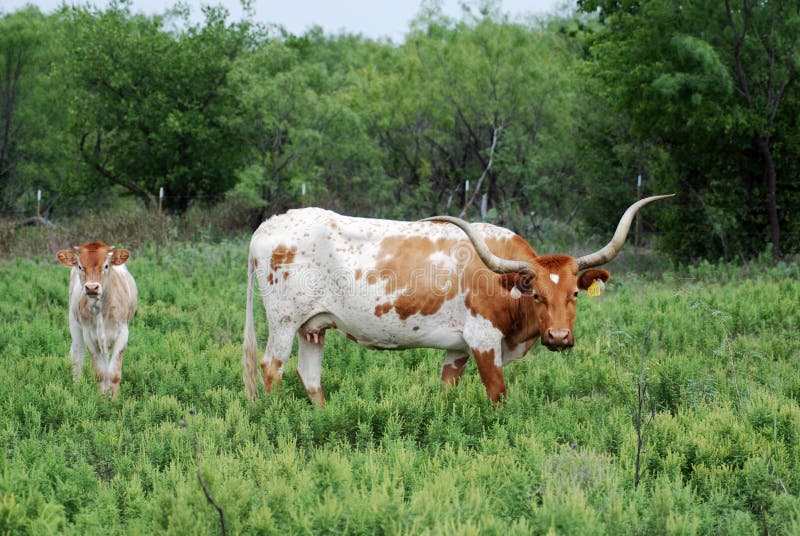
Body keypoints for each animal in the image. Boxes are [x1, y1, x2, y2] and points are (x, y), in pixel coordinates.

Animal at [56, 241, 138, 399]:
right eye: (80, 266)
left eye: (106, 265)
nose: (92, 287)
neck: (100, 310)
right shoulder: (88, 335)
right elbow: (99, 373)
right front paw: (101, 399)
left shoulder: (123, 333)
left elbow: (114, 374)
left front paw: (113, 400)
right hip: (74, 323)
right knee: (77, 355)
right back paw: (78, 388)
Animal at [243, 195, 673, 407]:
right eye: (536, 294)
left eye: (575, 294)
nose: (559, 337)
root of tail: (269, 225)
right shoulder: (483, 339)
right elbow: (498, 394)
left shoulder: (458, 349)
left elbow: (446, 391)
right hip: (283, 321)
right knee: (271, 368)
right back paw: (277, 421)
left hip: (312, 326)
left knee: (309, 376)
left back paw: (322, 418)